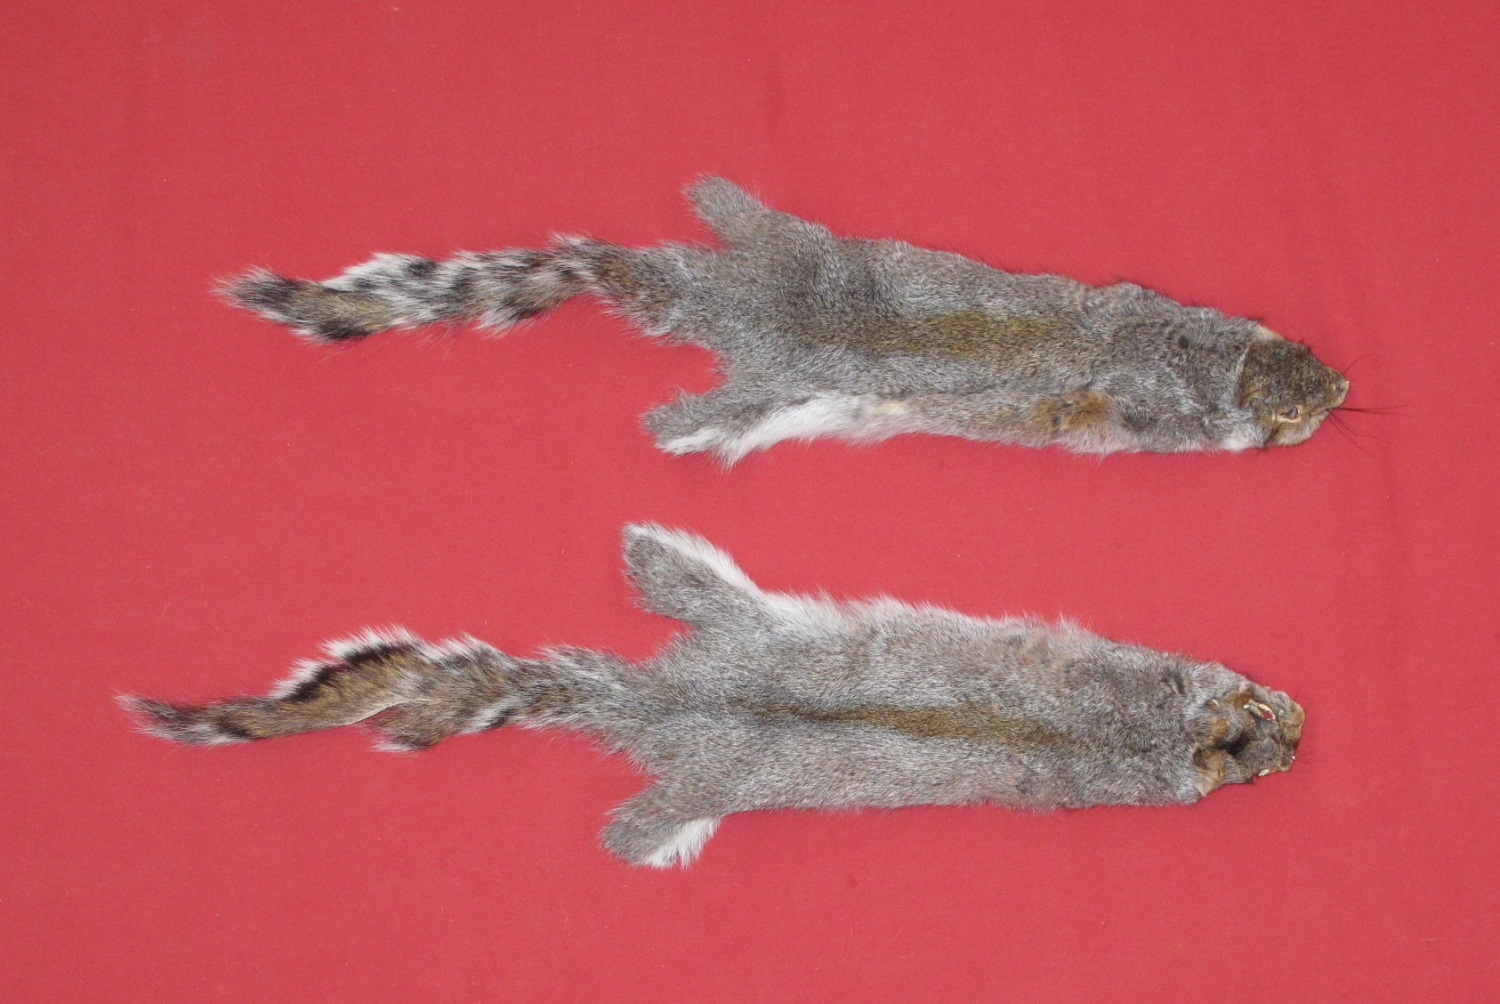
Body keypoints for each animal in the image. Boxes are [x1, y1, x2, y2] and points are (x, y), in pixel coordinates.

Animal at [224, 177, 1348, 462]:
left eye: (1304, 352)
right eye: (1290, 422)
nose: (1342, 387)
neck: (1177, 356)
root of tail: (714, 300)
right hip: (757, 399)